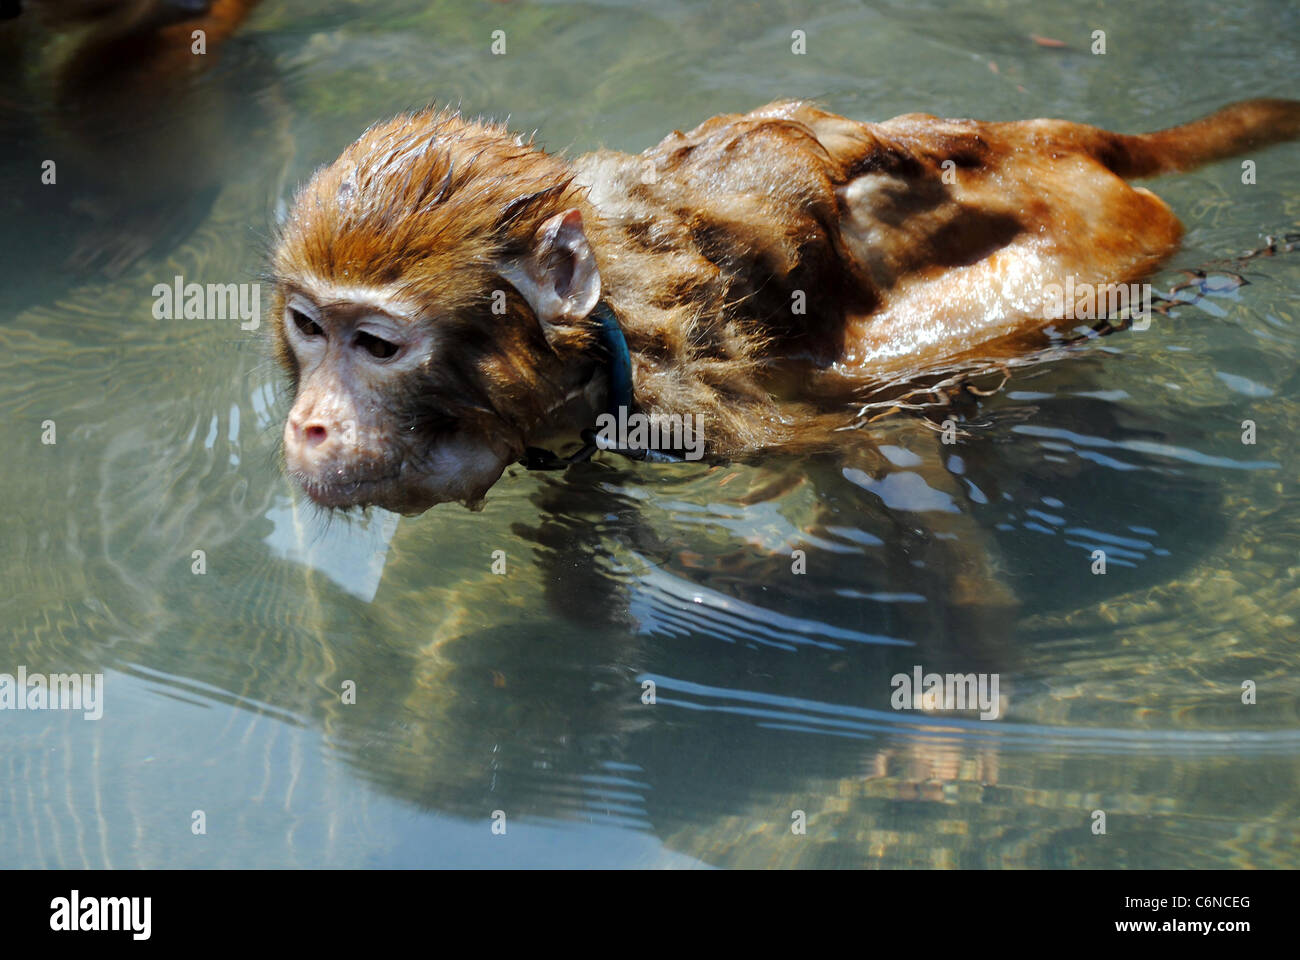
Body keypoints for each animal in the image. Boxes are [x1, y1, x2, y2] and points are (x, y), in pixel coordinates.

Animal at [270, 98, 1300, 514]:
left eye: (376, 346)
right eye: (309, 329)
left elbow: (892, 455)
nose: (308, 424)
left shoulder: (699, 411)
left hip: (1090, 239)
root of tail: (1046, 140)